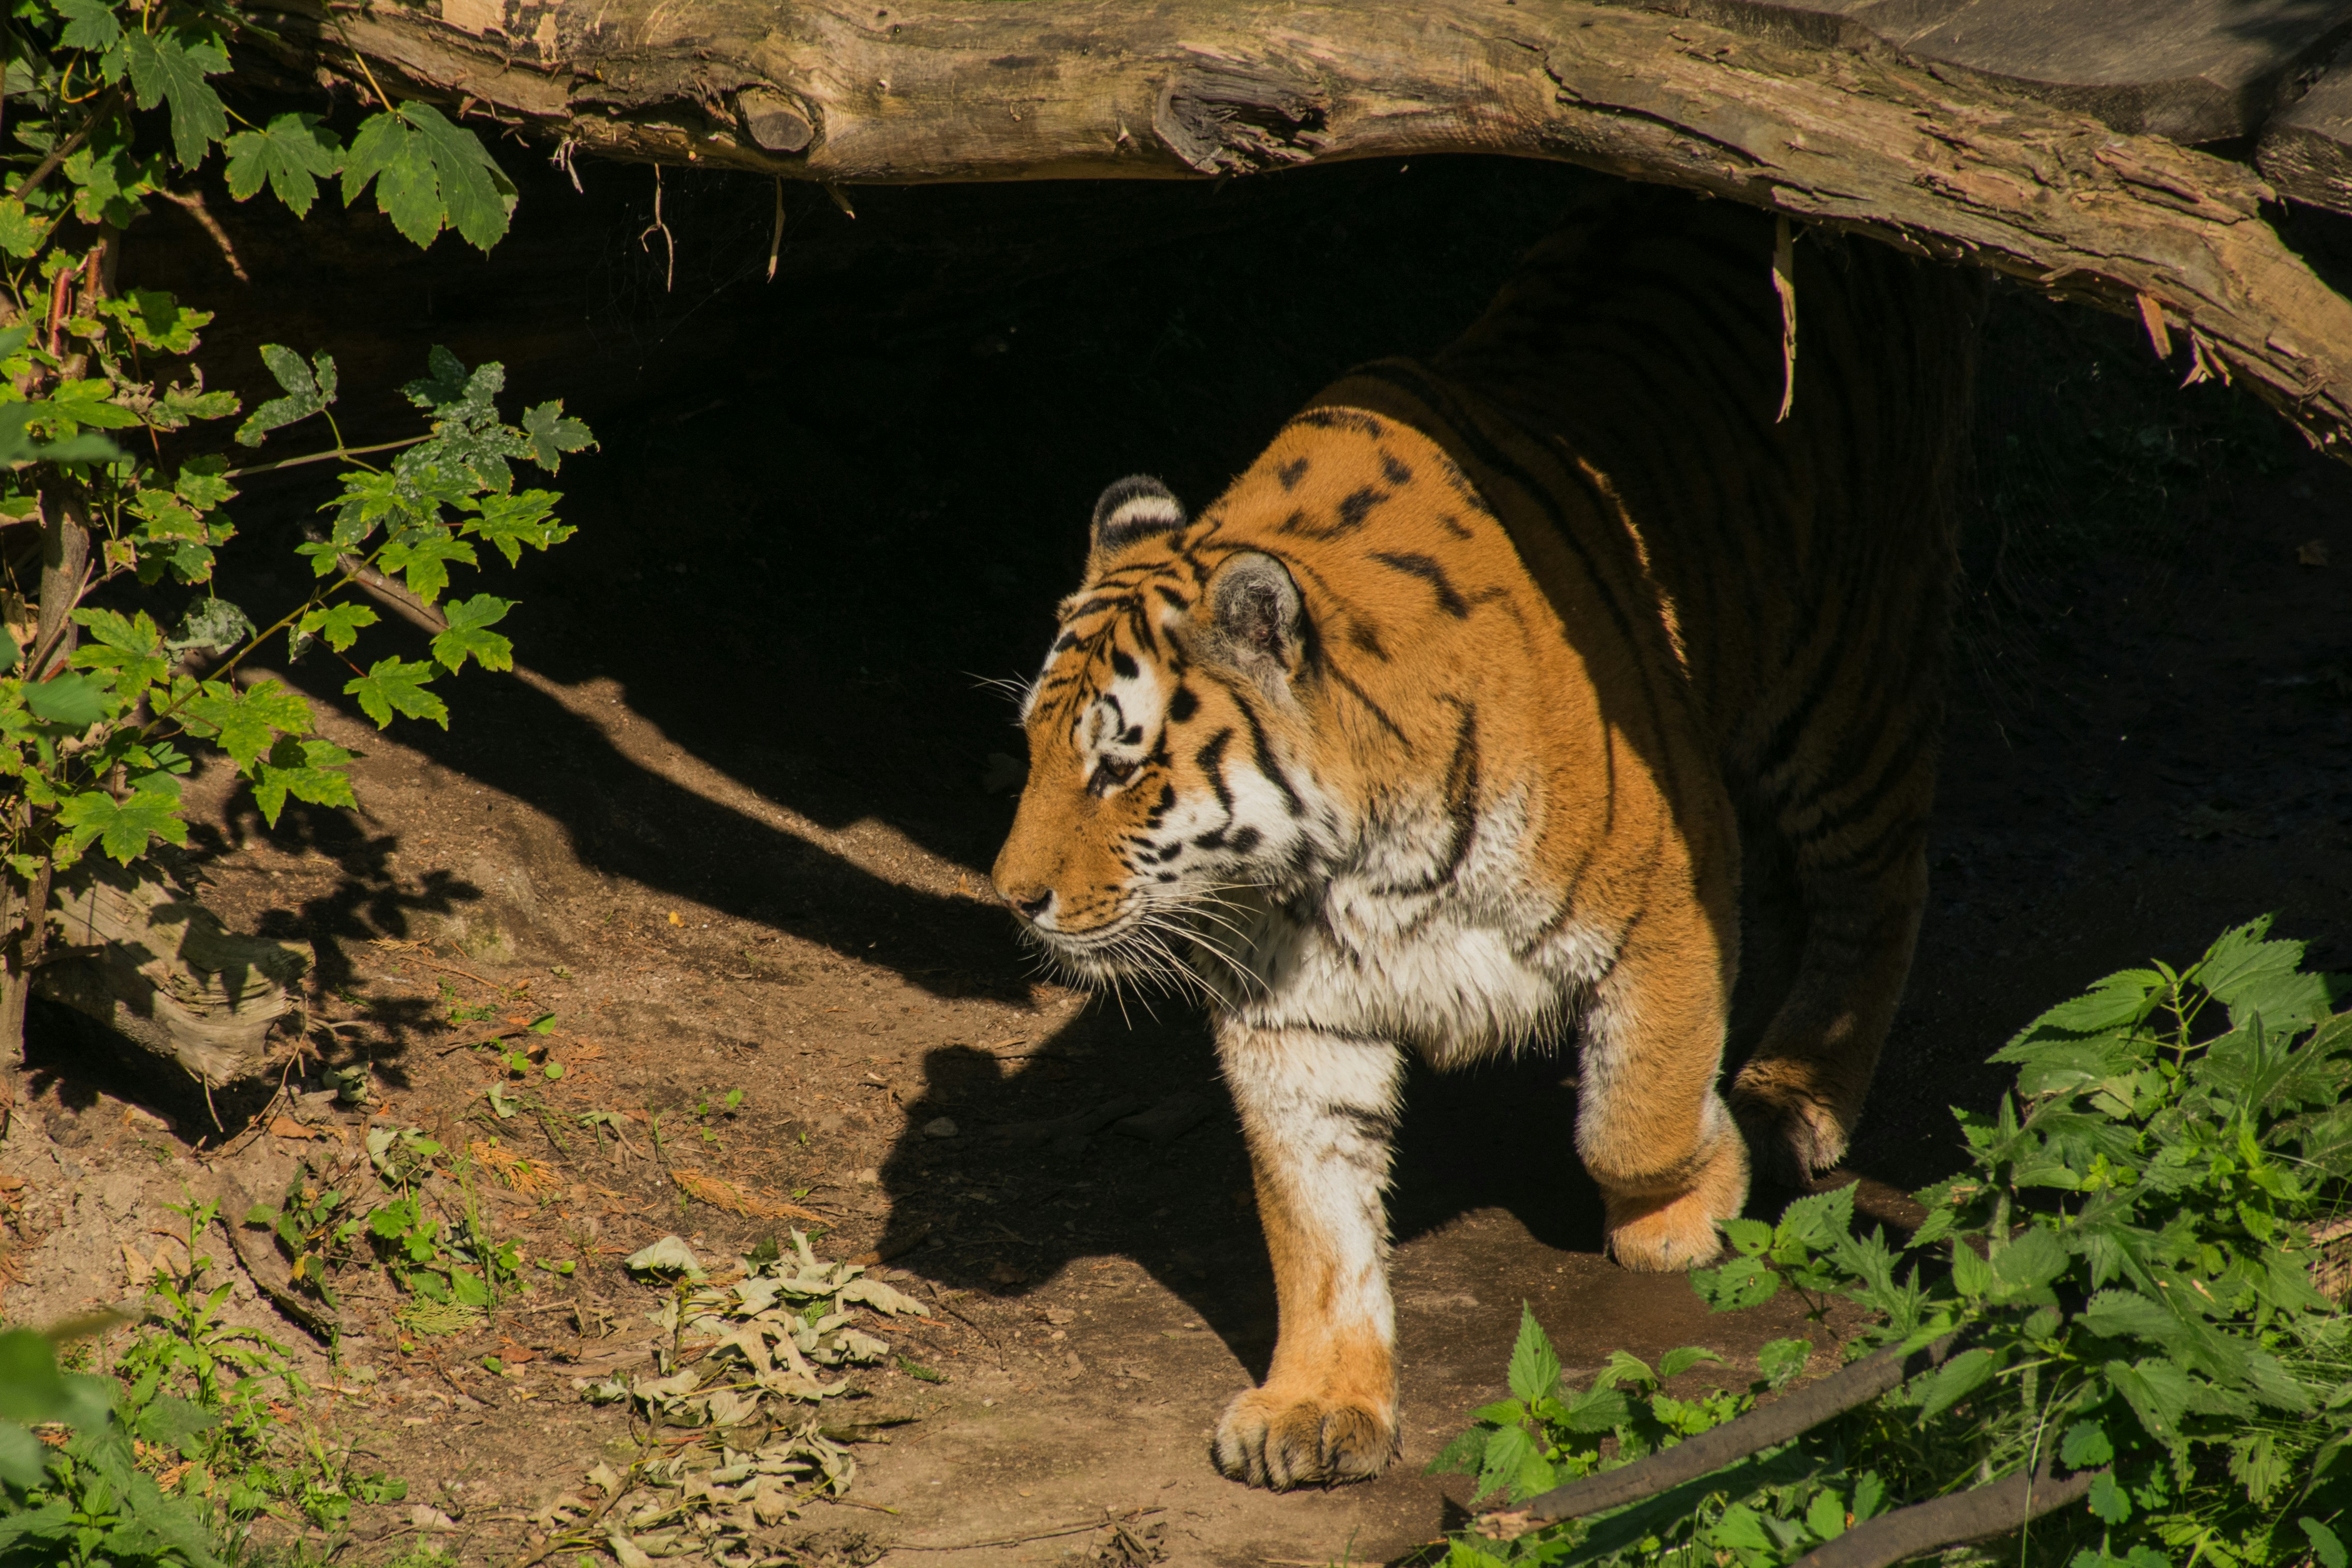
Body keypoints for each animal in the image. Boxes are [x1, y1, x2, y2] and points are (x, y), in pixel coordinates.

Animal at [990, 185, 1983, 1490]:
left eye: (1119, 763)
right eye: (1032, 747)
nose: (1009, 895)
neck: (1341, 868)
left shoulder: (1668, 900)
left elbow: (1632, 1114)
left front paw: (1688, 1205)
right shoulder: (1295, 1016)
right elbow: (1314, 1220)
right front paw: (1316, 1402)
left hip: (1839, 674)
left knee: (1881, 878)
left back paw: (1790, 1094)